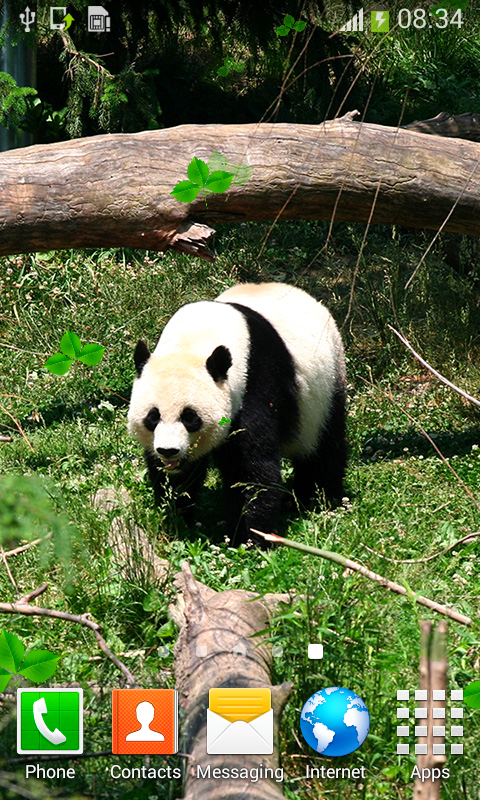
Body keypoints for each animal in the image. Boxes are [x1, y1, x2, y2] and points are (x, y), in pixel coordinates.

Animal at [127, 282, 346, 545]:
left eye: (190, 418)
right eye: (153, 417)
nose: (168, 450)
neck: (194, 340)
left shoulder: (255, 382)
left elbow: (250, 470)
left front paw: (247, 539)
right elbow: (176, 479)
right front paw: (177, 516)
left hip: (324, 388)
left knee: (324, 446)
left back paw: (315, 497)